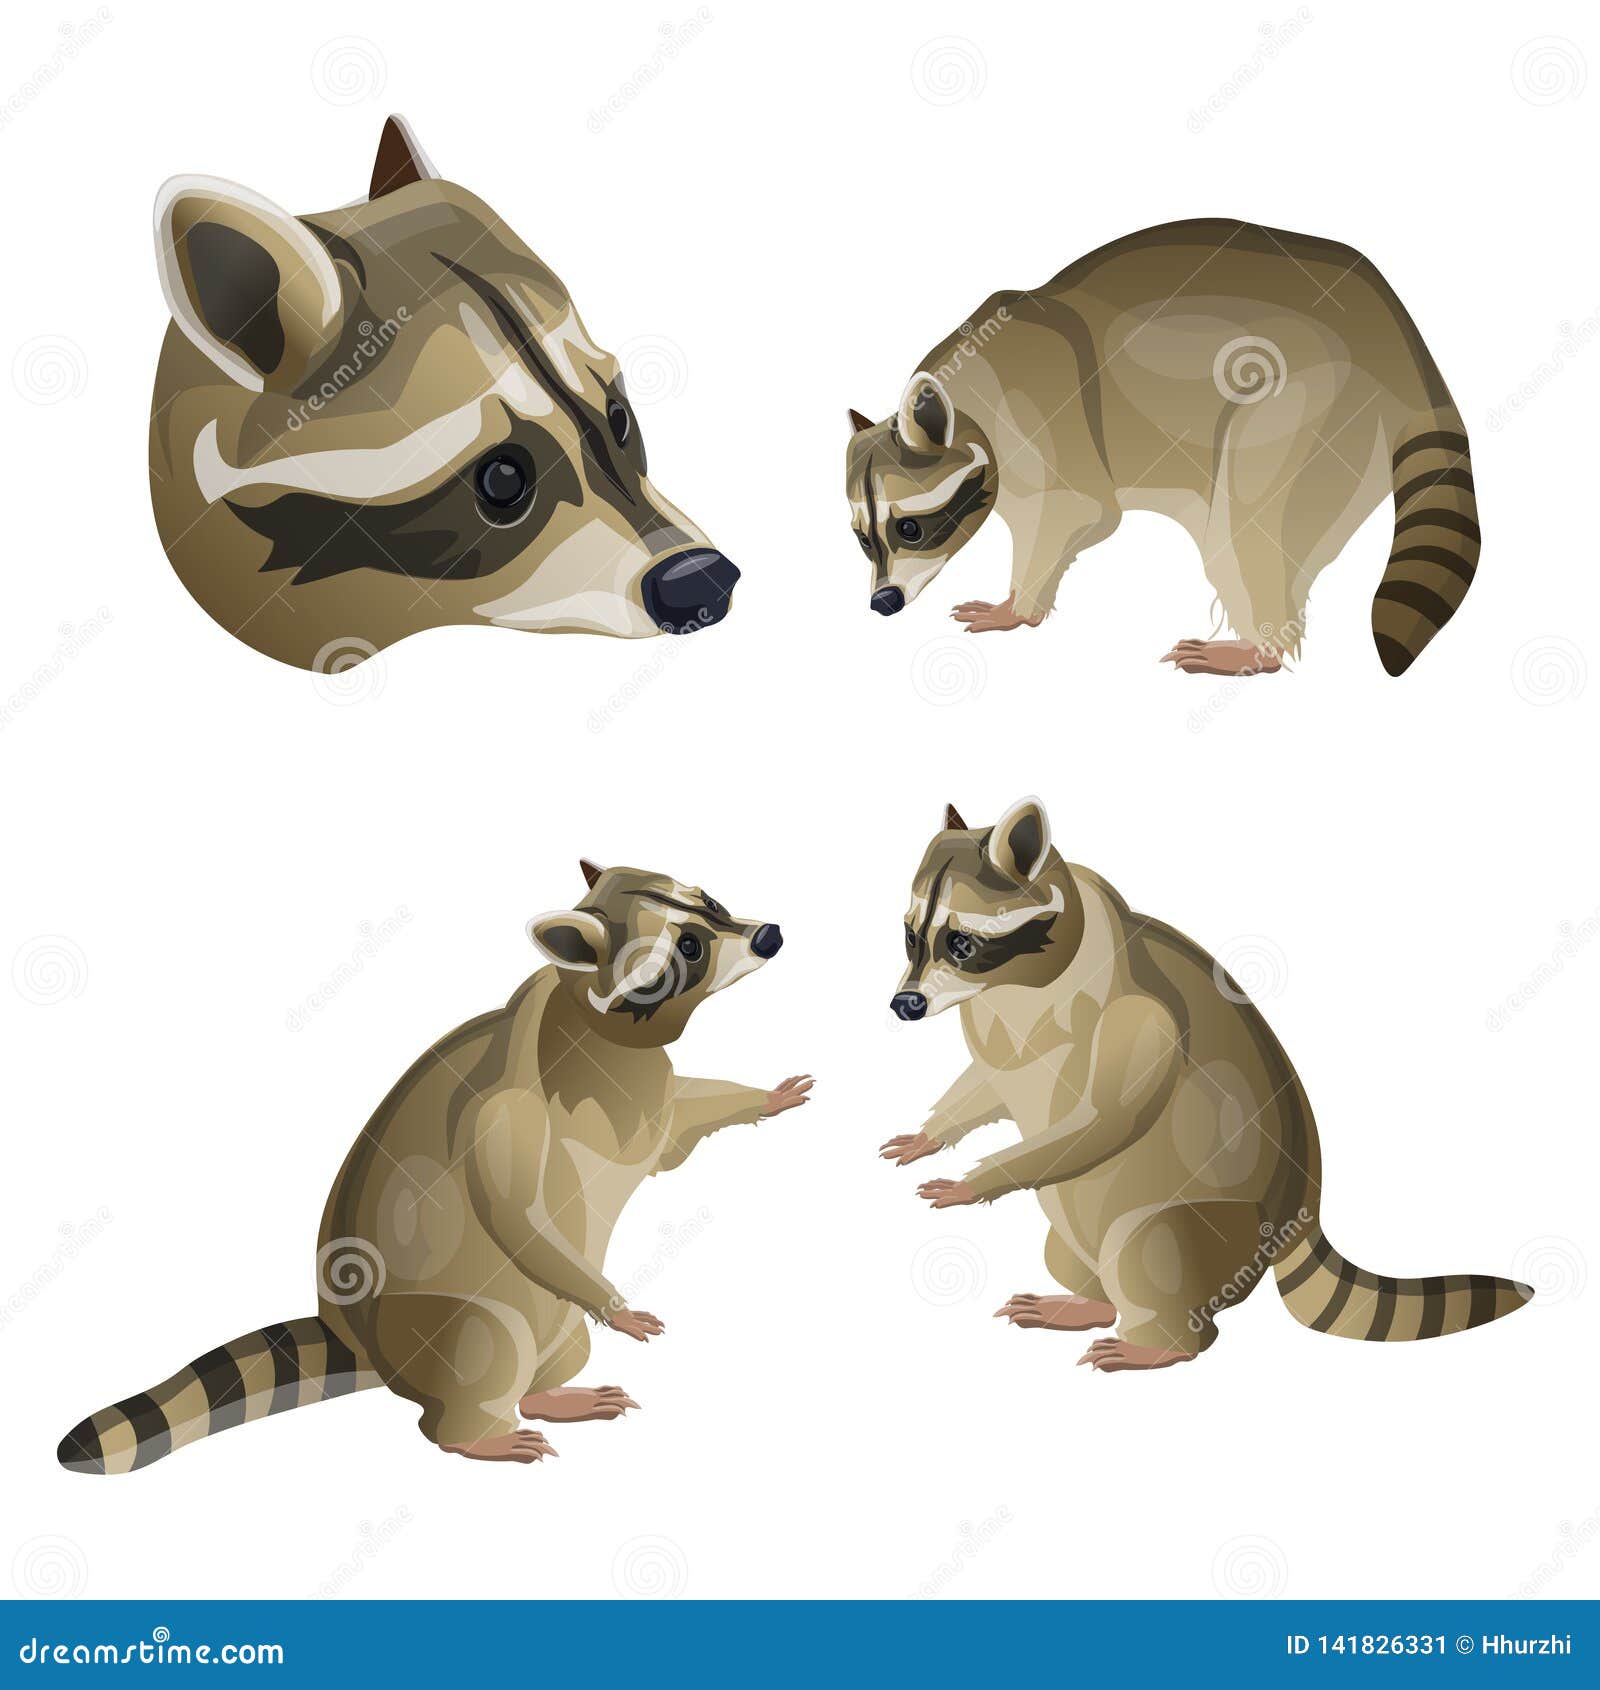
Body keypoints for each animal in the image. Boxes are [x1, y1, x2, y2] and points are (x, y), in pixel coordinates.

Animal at [58, 863, 809, 1472]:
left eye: (713, 903)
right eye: (690, 946)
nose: (770, 935)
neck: (600, 1026)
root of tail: (360, 1341)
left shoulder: (646, 1093)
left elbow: (678, 1120)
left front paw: (759, 1097)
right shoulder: (509, 1107)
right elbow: (515, 1210)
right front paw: (614, 1303)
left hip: (548, 1326)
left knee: (557, 1349)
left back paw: (546, 1394)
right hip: (441, 1324)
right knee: (489, 1338)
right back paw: (475, 1432)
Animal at [847, 219, 1478, 676]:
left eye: (909, 528)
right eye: (862, 540)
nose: (883, 602)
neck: (968, 401)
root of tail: (1402, 341)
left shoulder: (1040, 418)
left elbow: (1078, 511)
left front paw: (1017, 607)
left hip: (1309, 402)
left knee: (1246, 529)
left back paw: (1260, 648)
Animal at [882, 800, 1531, 1369]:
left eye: (961, 942)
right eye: (911, 936)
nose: (905, 1005)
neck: (1011, 984)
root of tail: (1302, 1210)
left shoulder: (1140, 1015)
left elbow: (1105, 1120)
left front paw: (984, 1176)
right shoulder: (999, 1035)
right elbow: (986, 1084)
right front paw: (935, 1130)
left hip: (1212, 1227)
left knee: (1145, 1245)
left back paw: (1162, 1343)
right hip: (1078, 1233)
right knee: (1075, 1257)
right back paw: (1089, 1302)